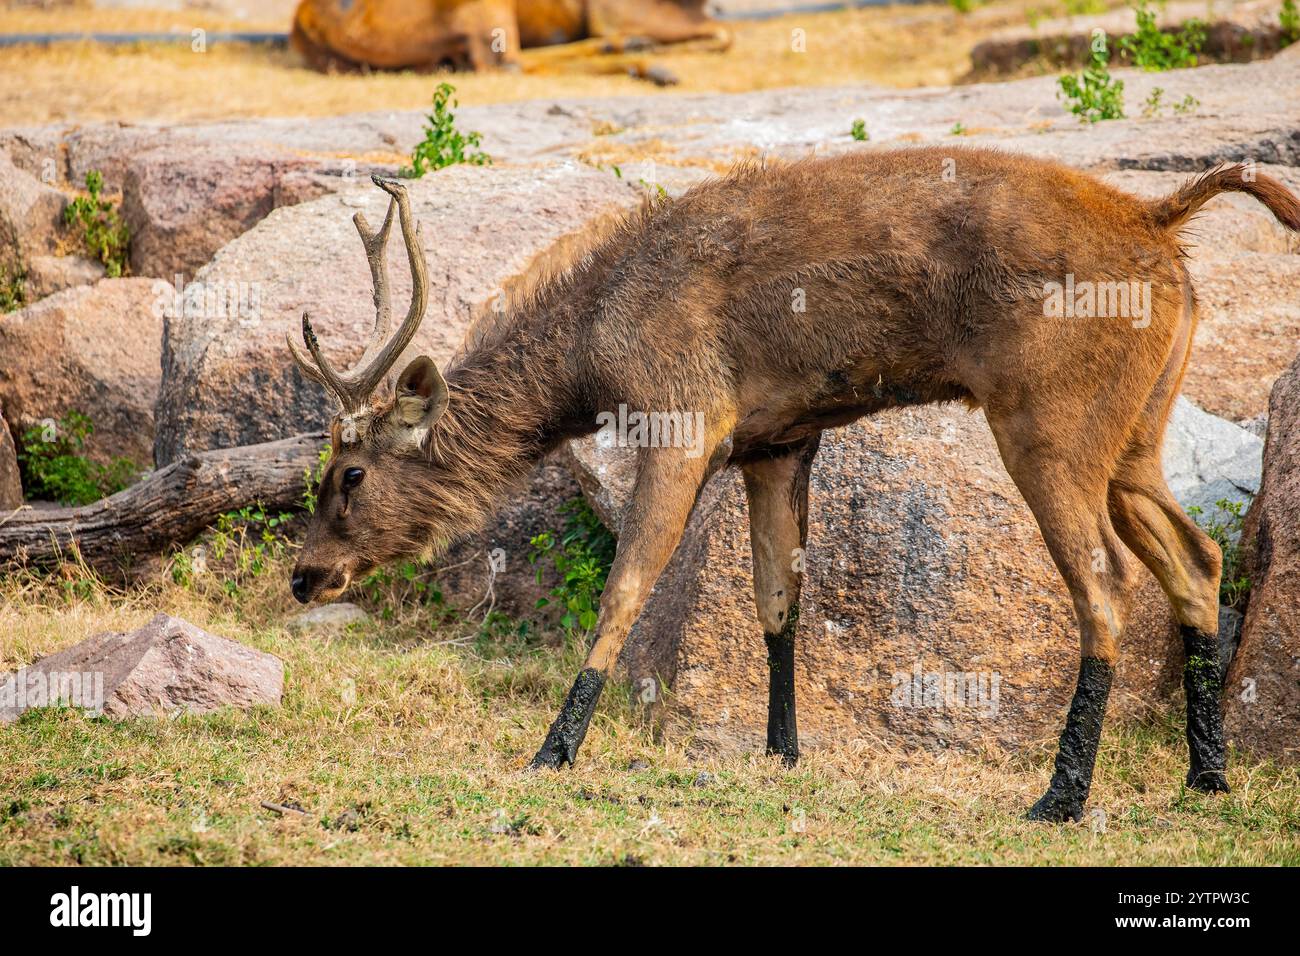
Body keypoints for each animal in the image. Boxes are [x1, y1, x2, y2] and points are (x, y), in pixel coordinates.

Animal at [288, 156, 1300, 822]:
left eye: (349, 472)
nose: (305, 576)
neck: (593, 357)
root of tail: (1164, 223)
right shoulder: (778, 441)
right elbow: (778, 602)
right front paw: (782, 754)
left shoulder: (684, 415)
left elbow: (626, 588)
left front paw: (553, 749)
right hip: (1136, 437)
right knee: (1197, 559)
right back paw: (1206, 775)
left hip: (1048, 425)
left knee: (1106, 584)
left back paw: (1060, 795)